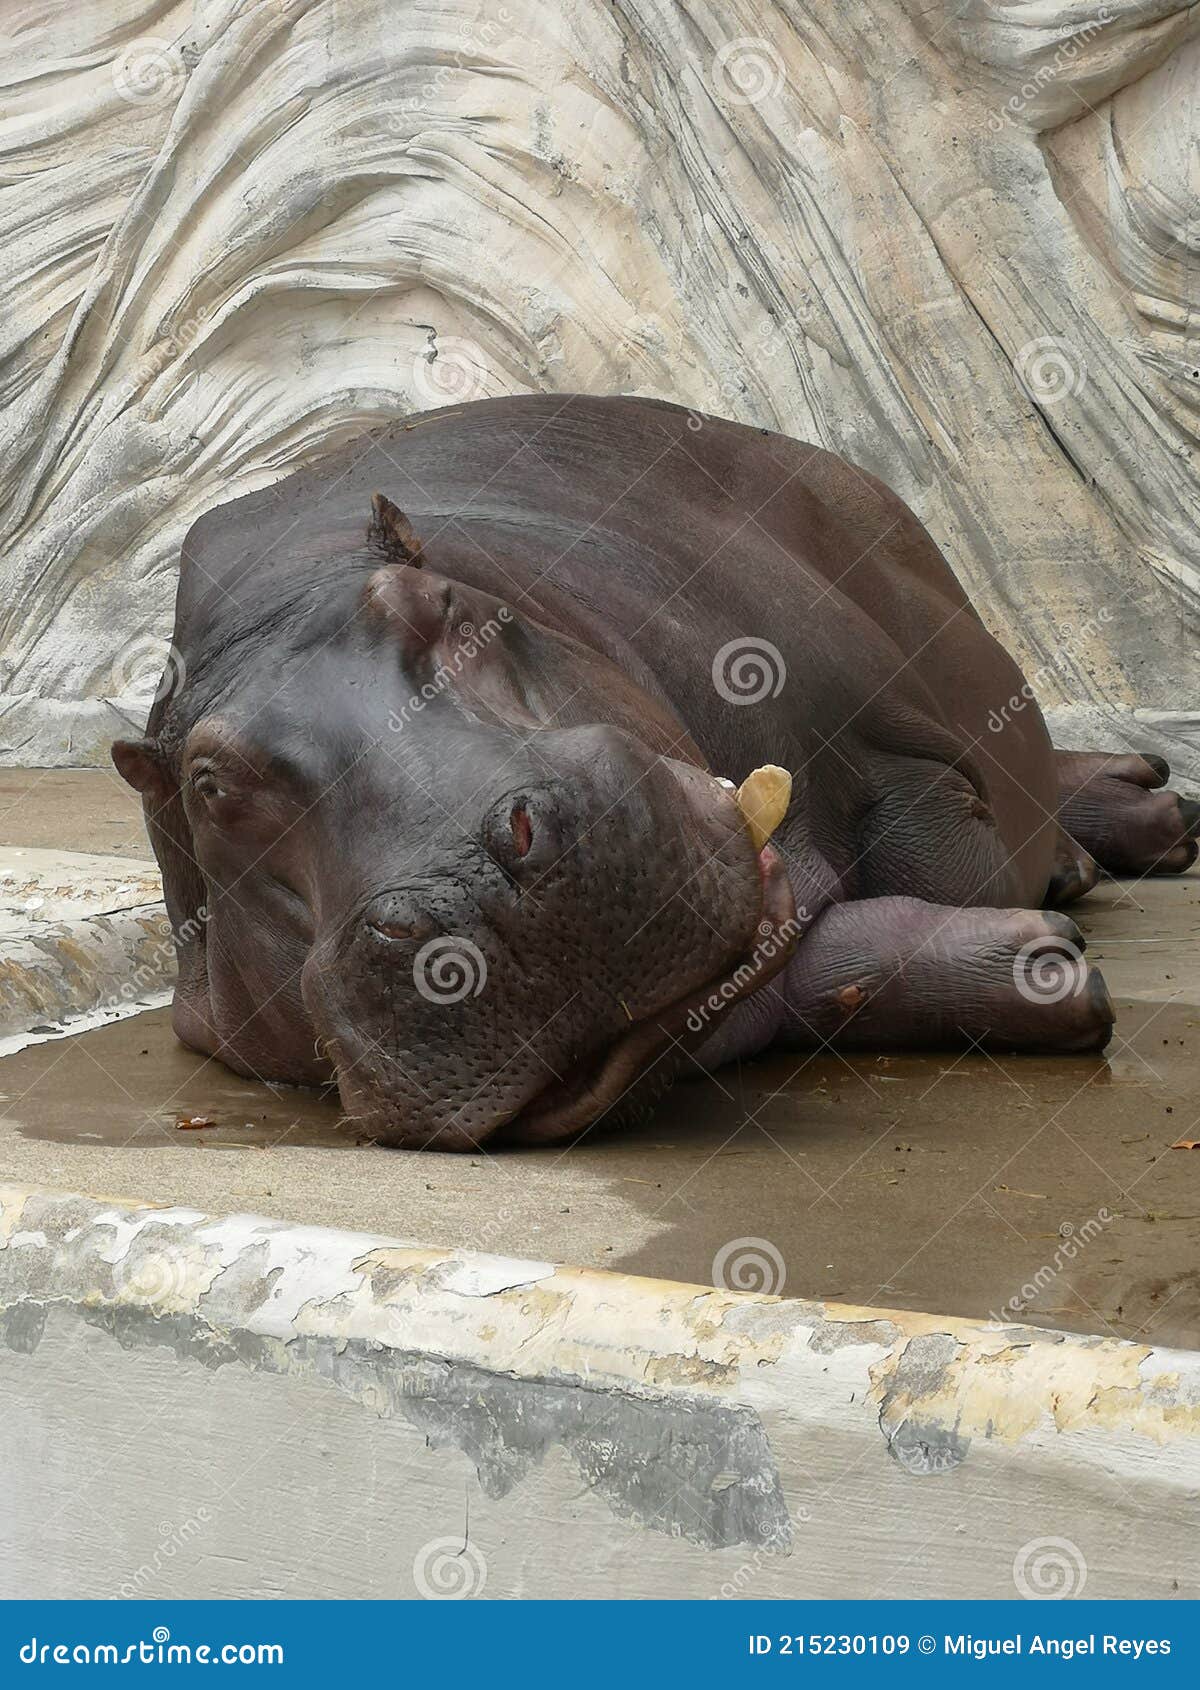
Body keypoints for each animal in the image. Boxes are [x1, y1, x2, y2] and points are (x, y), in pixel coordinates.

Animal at [113, 395, 1199, 1150]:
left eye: (445, 605)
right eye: (209, 789)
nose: (476, 880)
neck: (276, 607)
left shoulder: (900, 753)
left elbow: (934, 858)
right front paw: (1045, 966)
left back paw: (1146, 813)